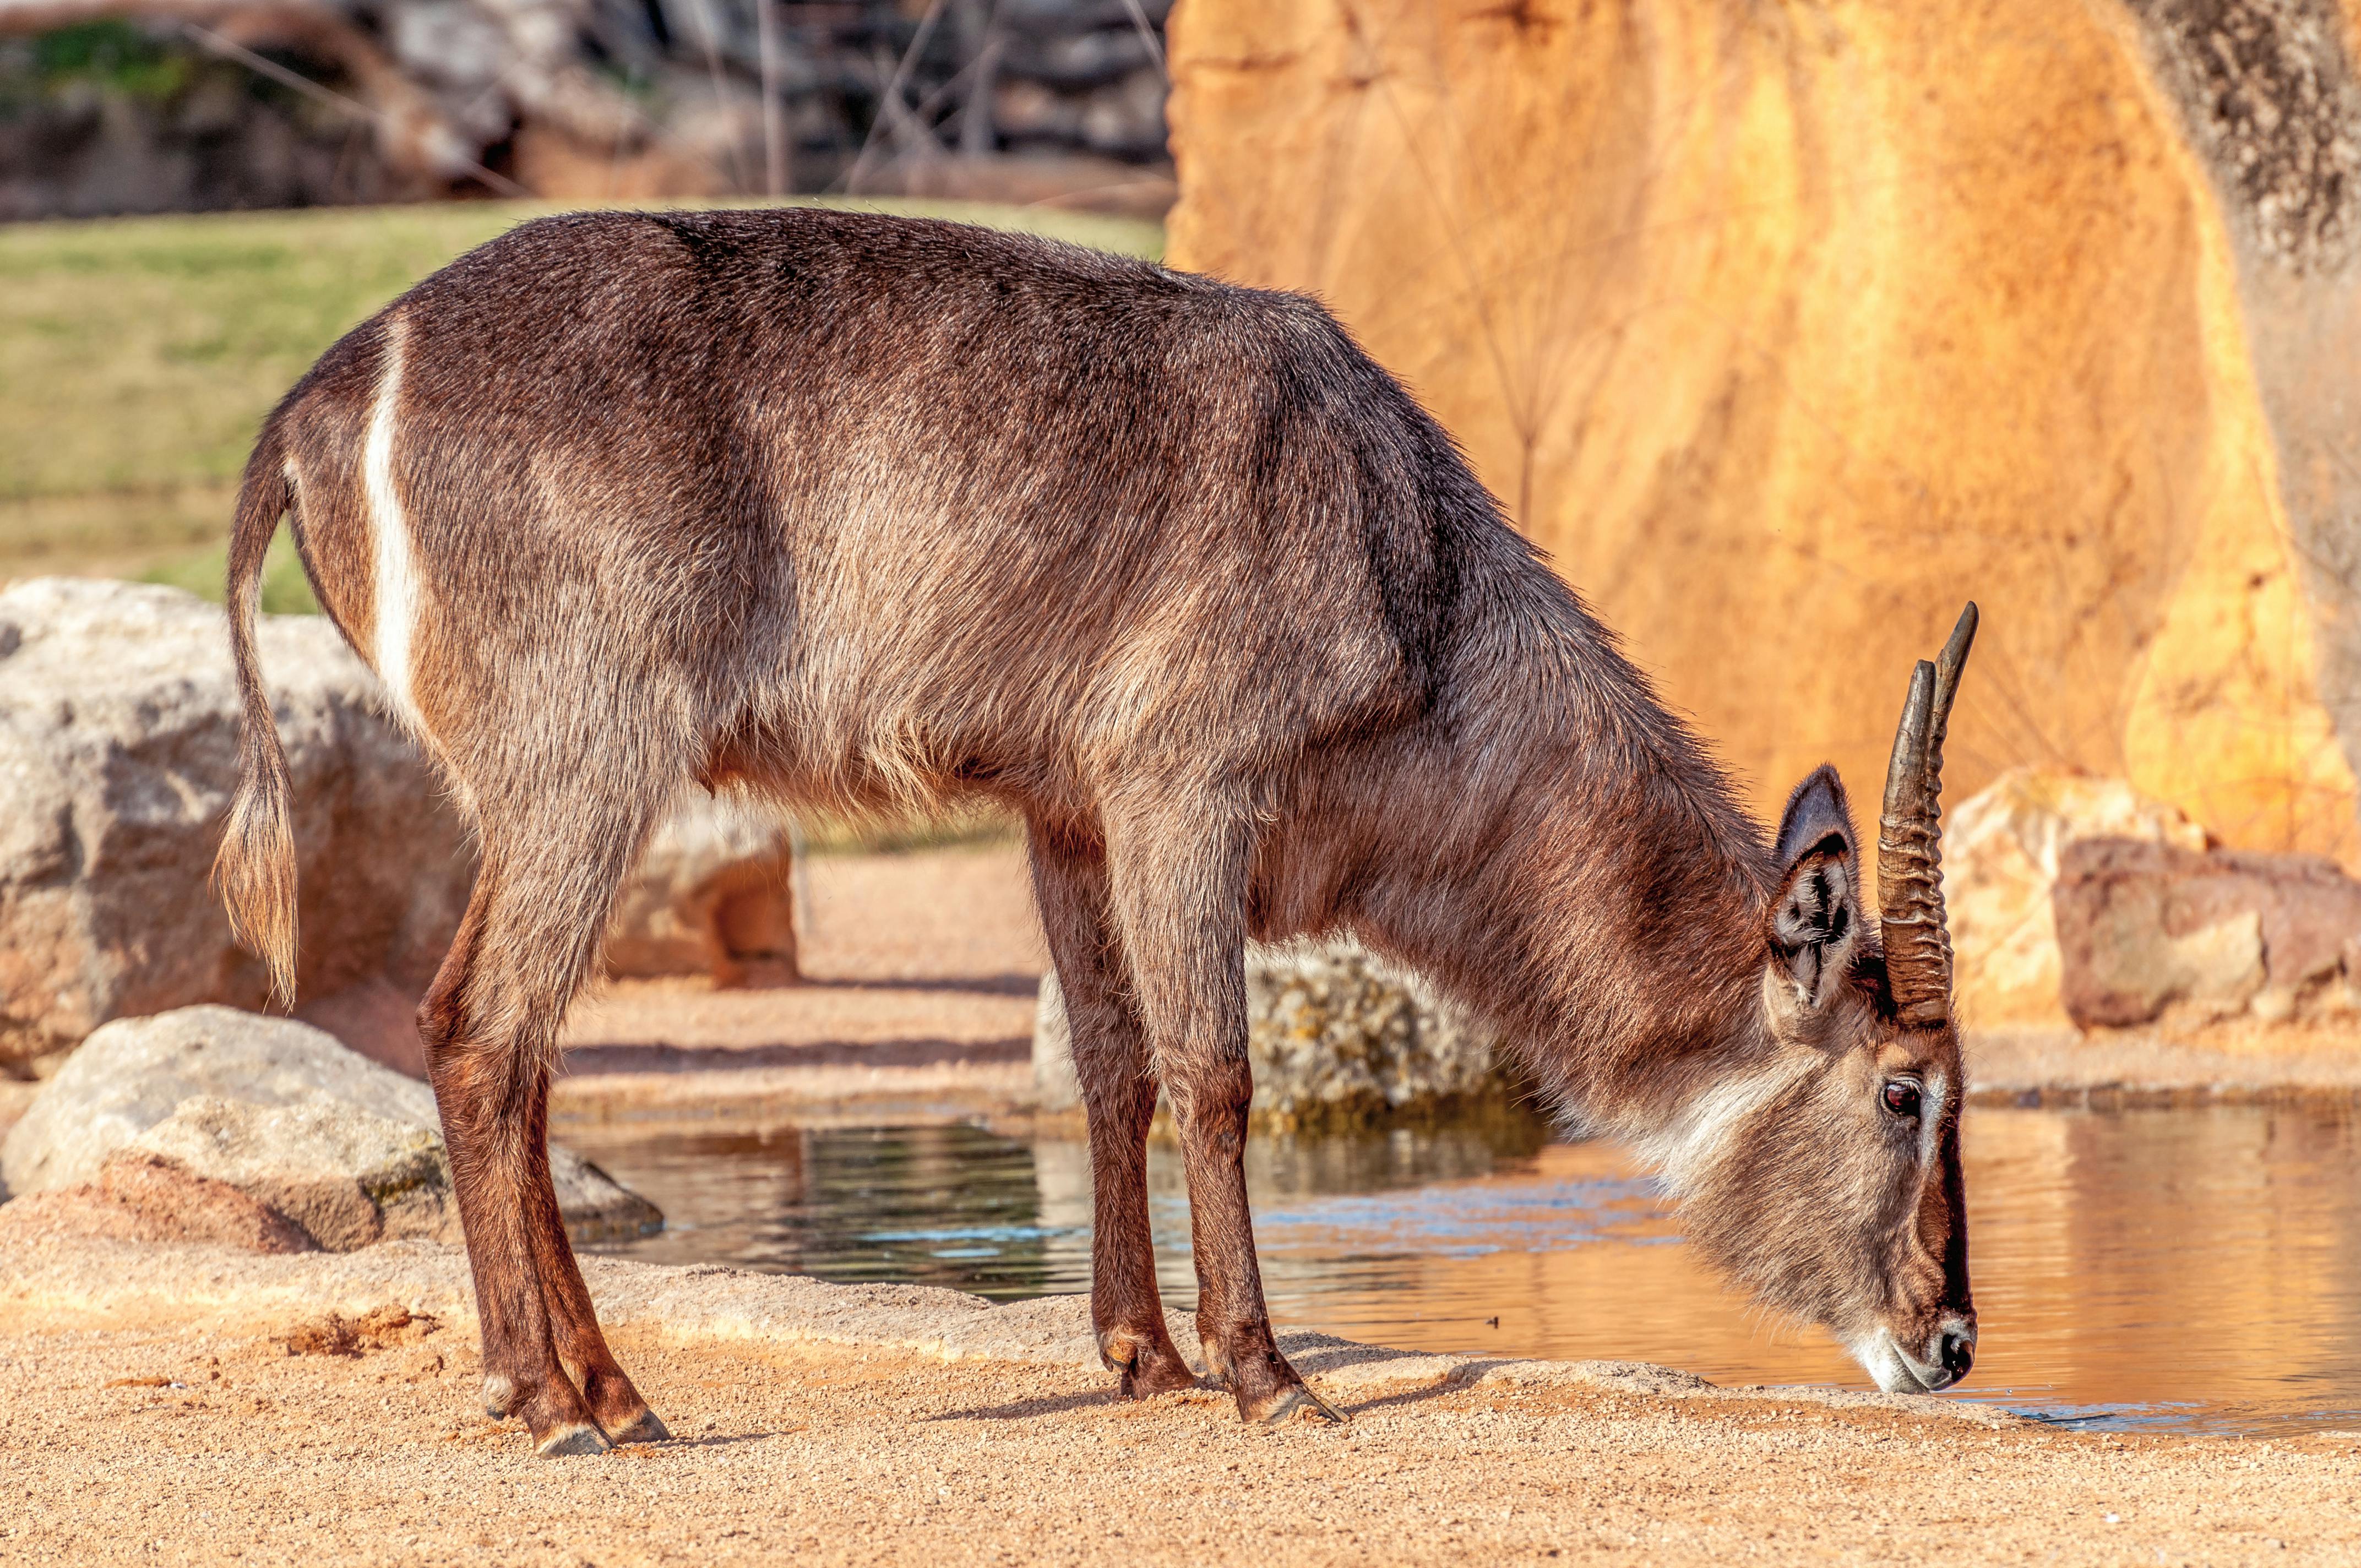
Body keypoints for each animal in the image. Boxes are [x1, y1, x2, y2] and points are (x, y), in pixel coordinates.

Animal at [217, 208, 1978, 1456]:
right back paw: (566, 1400)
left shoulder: (1060, 809)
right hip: (588, 762)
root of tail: (326, 389)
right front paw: (1267, 1375)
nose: (1954, 1339)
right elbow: (1214, 1070)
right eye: (1906, 1088)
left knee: (505, 1048)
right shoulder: (1180, 785)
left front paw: (1145, 1357)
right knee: (480, 1030)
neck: (1413, 568)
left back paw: (596, 1388)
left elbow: (1114, 1067)